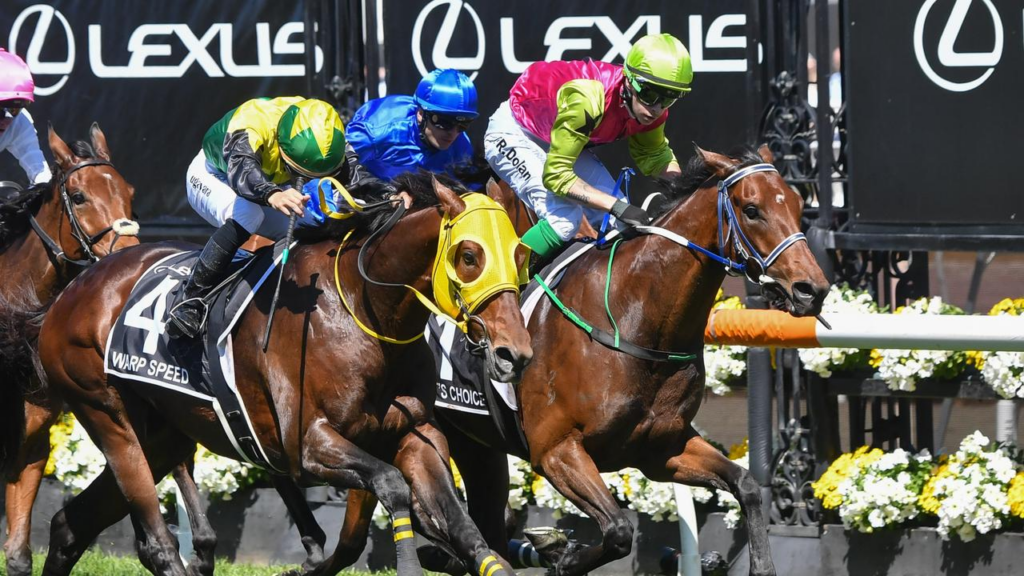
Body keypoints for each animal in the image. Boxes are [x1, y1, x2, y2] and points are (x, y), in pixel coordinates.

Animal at [28, 172, 533, 576]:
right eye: (469, 255)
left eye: (520, 255)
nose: (515, 354)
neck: (365, 309)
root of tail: (77, 285)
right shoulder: (309, 444)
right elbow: (391, 485)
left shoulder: (414, 434)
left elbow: (462, 526)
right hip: (109, 416)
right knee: (154, 543)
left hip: (164, 435)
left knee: (70, 524)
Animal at [328, 145, 830, 576]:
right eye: (752, 209)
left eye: (798, 204)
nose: (813, 289)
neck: (635, 317)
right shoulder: (556, 449)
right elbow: (619, 529)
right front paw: (563, 557)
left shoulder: (661, 449)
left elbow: (747, 486)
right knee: (372, 532)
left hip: (476, 447)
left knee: (481, 526)